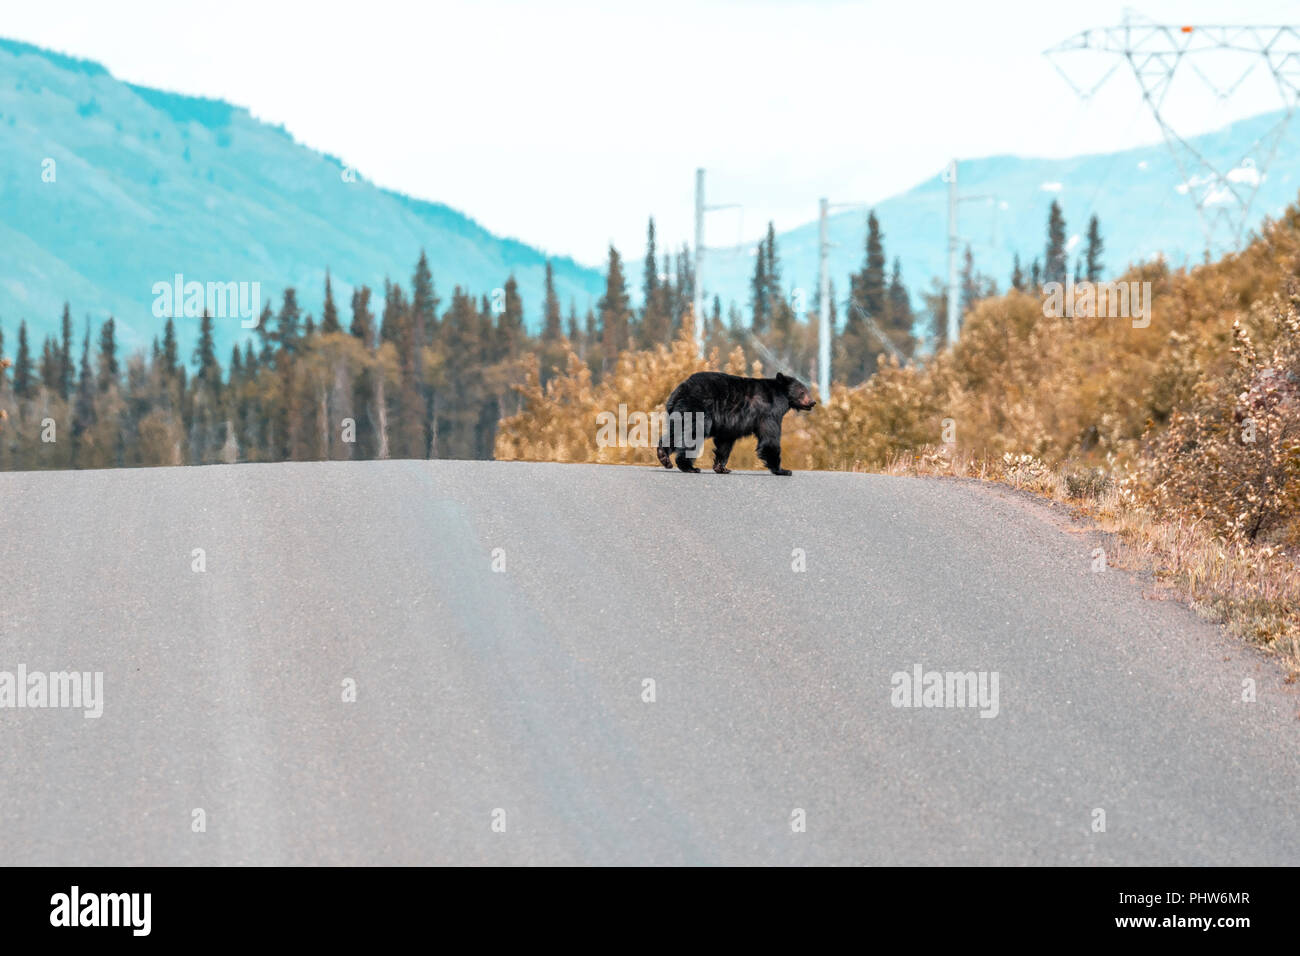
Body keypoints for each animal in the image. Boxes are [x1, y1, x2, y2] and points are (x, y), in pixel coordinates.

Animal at [655, 371, 817, 476]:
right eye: (803, 391)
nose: (813, 402)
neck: (781, 394)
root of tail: (679, 391)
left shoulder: (730, 424)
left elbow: (725, 442)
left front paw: (722, 468)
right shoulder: (769, 411)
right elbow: (770, 438)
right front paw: (783, 470)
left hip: (680, 412)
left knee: (675, 432)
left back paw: (664, 456)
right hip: (697, 409)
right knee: (693, 434)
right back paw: (689, 466)